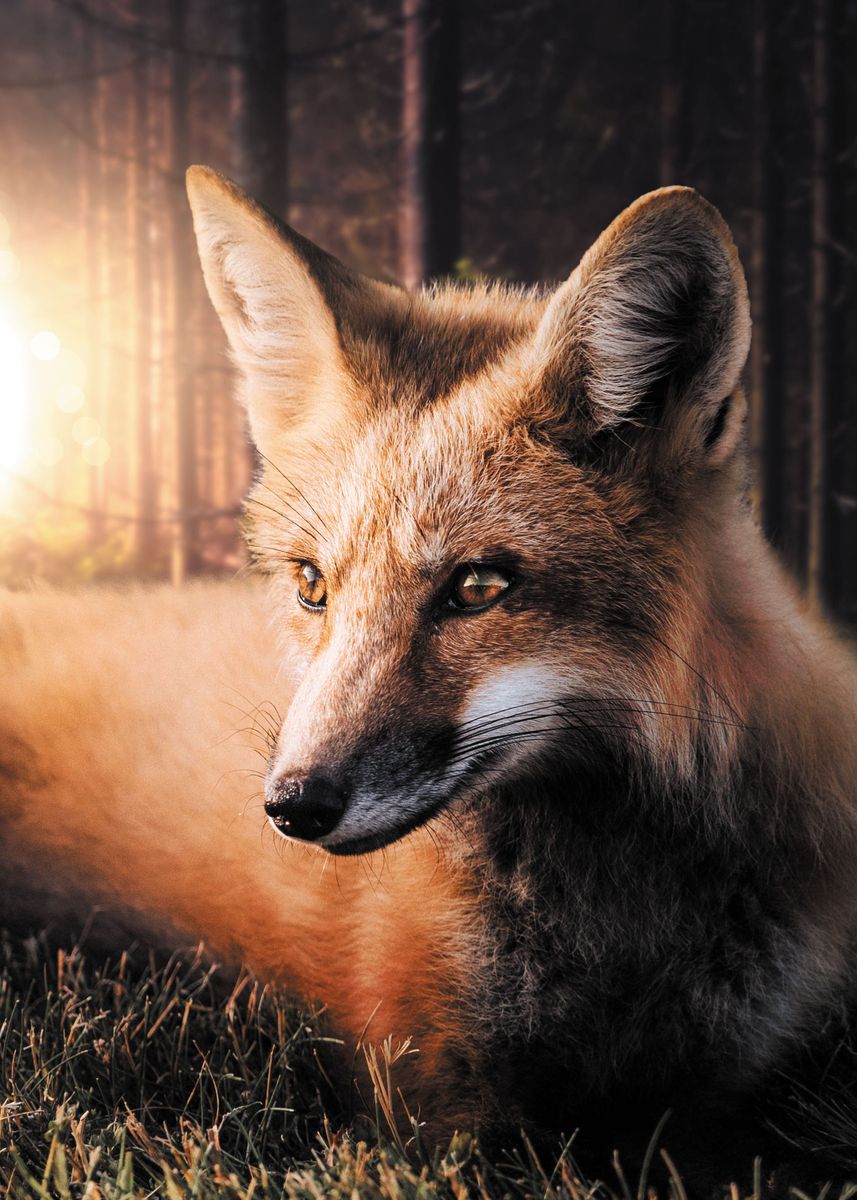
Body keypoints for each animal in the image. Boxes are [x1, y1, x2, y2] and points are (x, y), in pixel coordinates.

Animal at [3, 166, 857, 1190]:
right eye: (311, 586)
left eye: (478, 587)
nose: (292, 805)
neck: (618, 925)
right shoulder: (429, 1101)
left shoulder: (731, 1094)